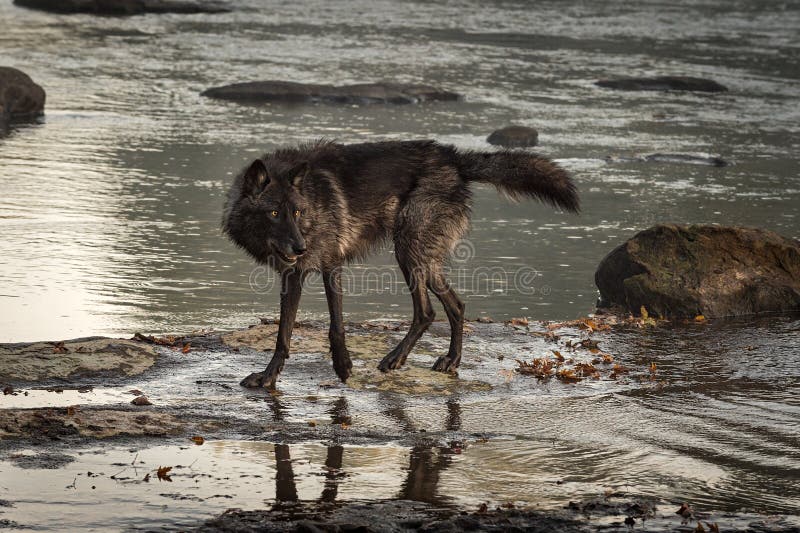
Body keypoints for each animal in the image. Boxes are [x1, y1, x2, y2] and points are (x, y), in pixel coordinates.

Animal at [223, 140, 578, 388]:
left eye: (296, 212)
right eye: (274, 212)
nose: (300, 246)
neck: (312, 204)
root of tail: (453, 157)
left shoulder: (331, 264)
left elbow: (336, 325)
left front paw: (343, 366)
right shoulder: (292, 275)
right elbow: (283, 334)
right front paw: (268, 377)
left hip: (408, 252)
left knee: (427, 311)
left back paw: (396, 359)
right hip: (423, 259)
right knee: (456, 305)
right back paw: (451, 360)